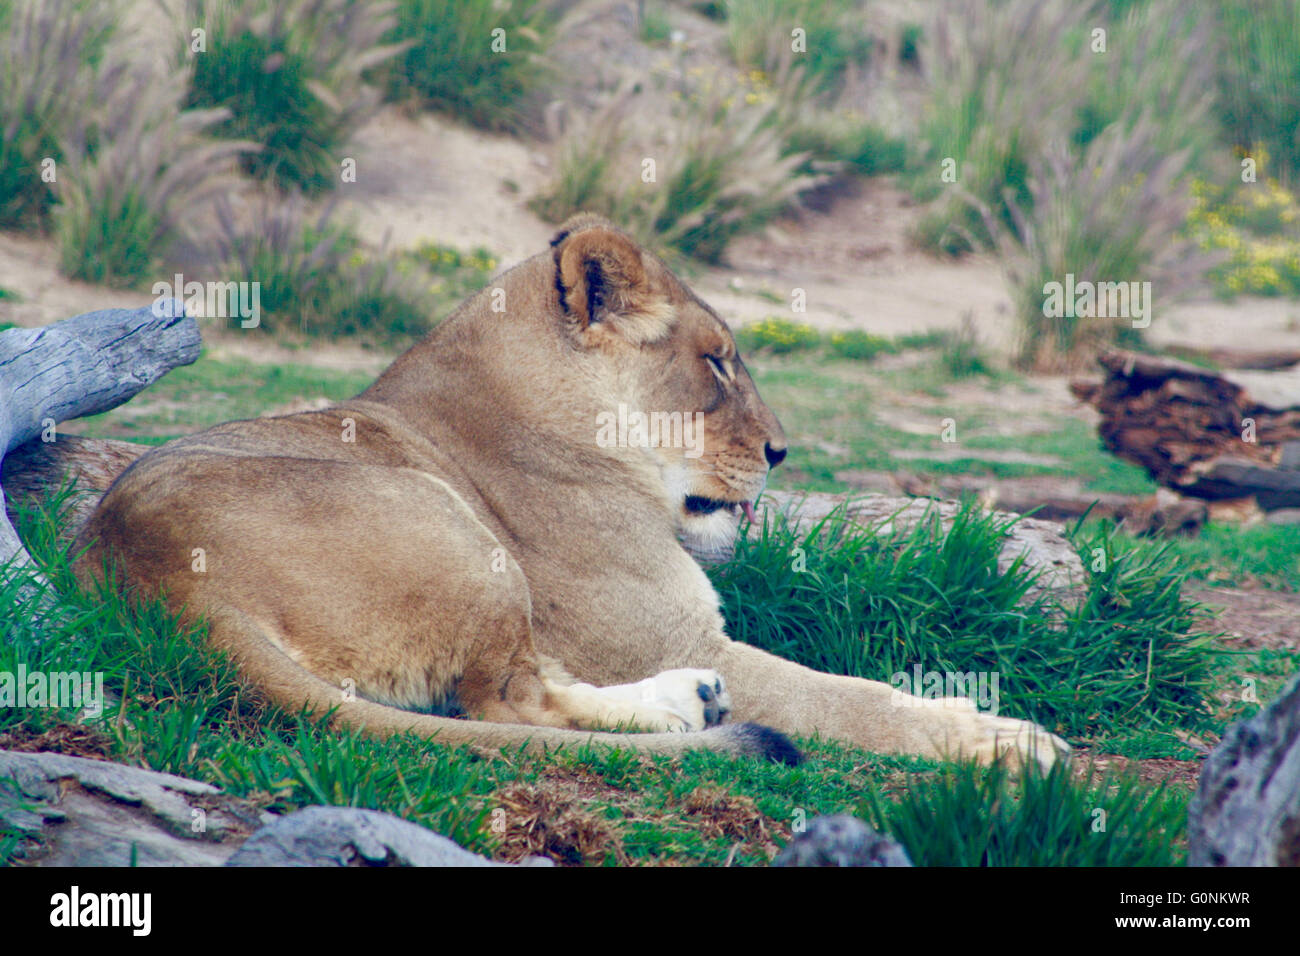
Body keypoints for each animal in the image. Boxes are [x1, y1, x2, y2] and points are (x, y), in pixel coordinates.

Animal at [74, 214, 1068, 768]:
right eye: (716, 362)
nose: (782, 452)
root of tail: (153, 582)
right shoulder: (667, 630)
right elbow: (849, 698)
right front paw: (1006, 743)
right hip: (452, 528)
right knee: (504, 702)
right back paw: (684, 707)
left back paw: (693, 702)